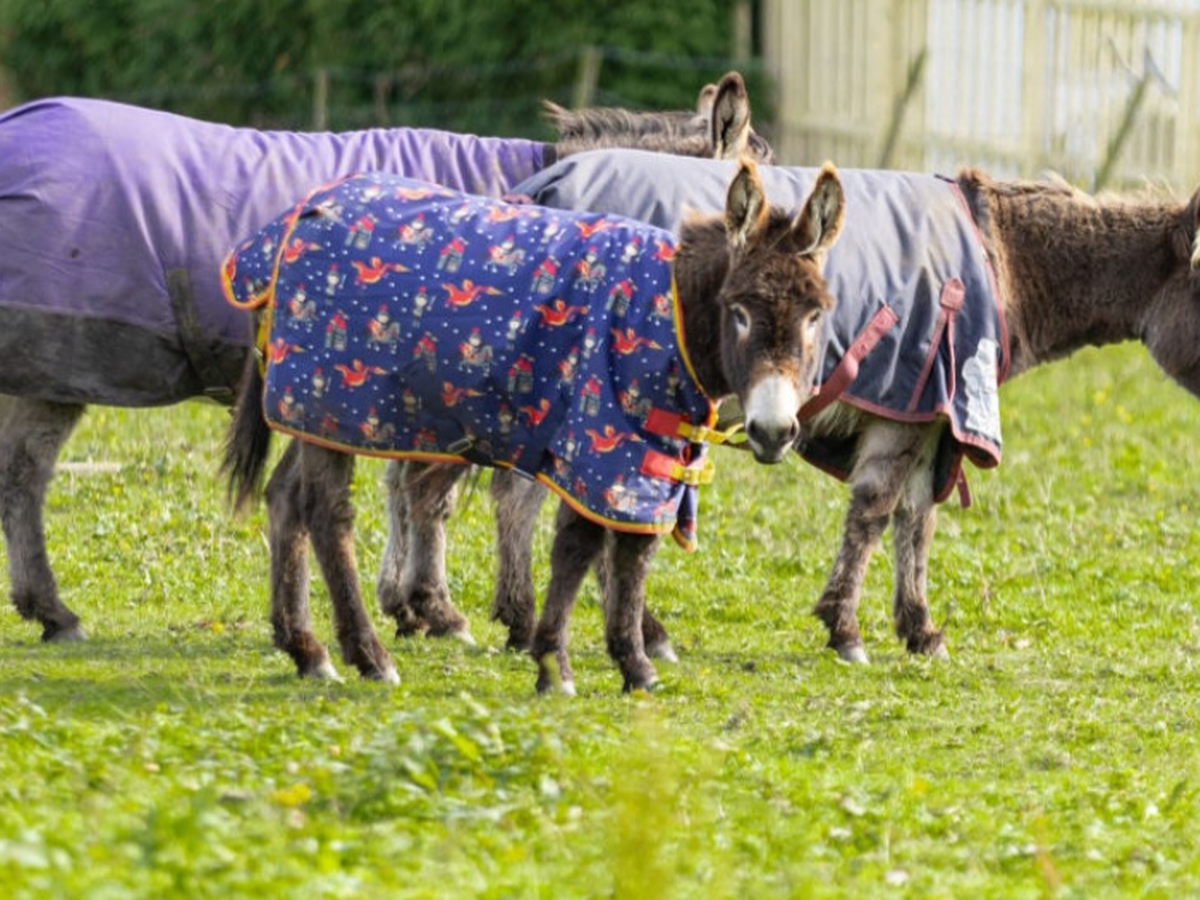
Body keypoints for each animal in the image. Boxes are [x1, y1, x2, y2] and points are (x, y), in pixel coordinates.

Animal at [0, 72, 771, 644]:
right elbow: (450, 498)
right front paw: (444, 608)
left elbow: (413, 494)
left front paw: (409, 604)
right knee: (26, 478)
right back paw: (55, 609)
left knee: (21, 477)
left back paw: (48, 610)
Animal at [220, 158, 845, 692]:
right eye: (738, 311)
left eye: (815, 314)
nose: (773, 431)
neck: (663, 315)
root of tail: (294, 219)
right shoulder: (599, 438)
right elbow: (579, 547)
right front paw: (556, 666)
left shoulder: (650, 452)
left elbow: (630, 551)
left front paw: (632, 665)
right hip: (331, 399)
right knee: (328, 514)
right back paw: (369, 656)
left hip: (311, 413)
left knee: (286, 499)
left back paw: (306, 649)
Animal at [463, 148, 1200, 663]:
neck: (1001, 257)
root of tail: (547, 182)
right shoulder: (913, 400)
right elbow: (875, 513)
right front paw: (847, 630)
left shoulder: (926, 414)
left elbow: (915, 520)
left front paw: (918, 629)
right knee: (550, 497)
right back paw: (607, 627)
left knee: (523, 494)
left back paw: (524, 619)